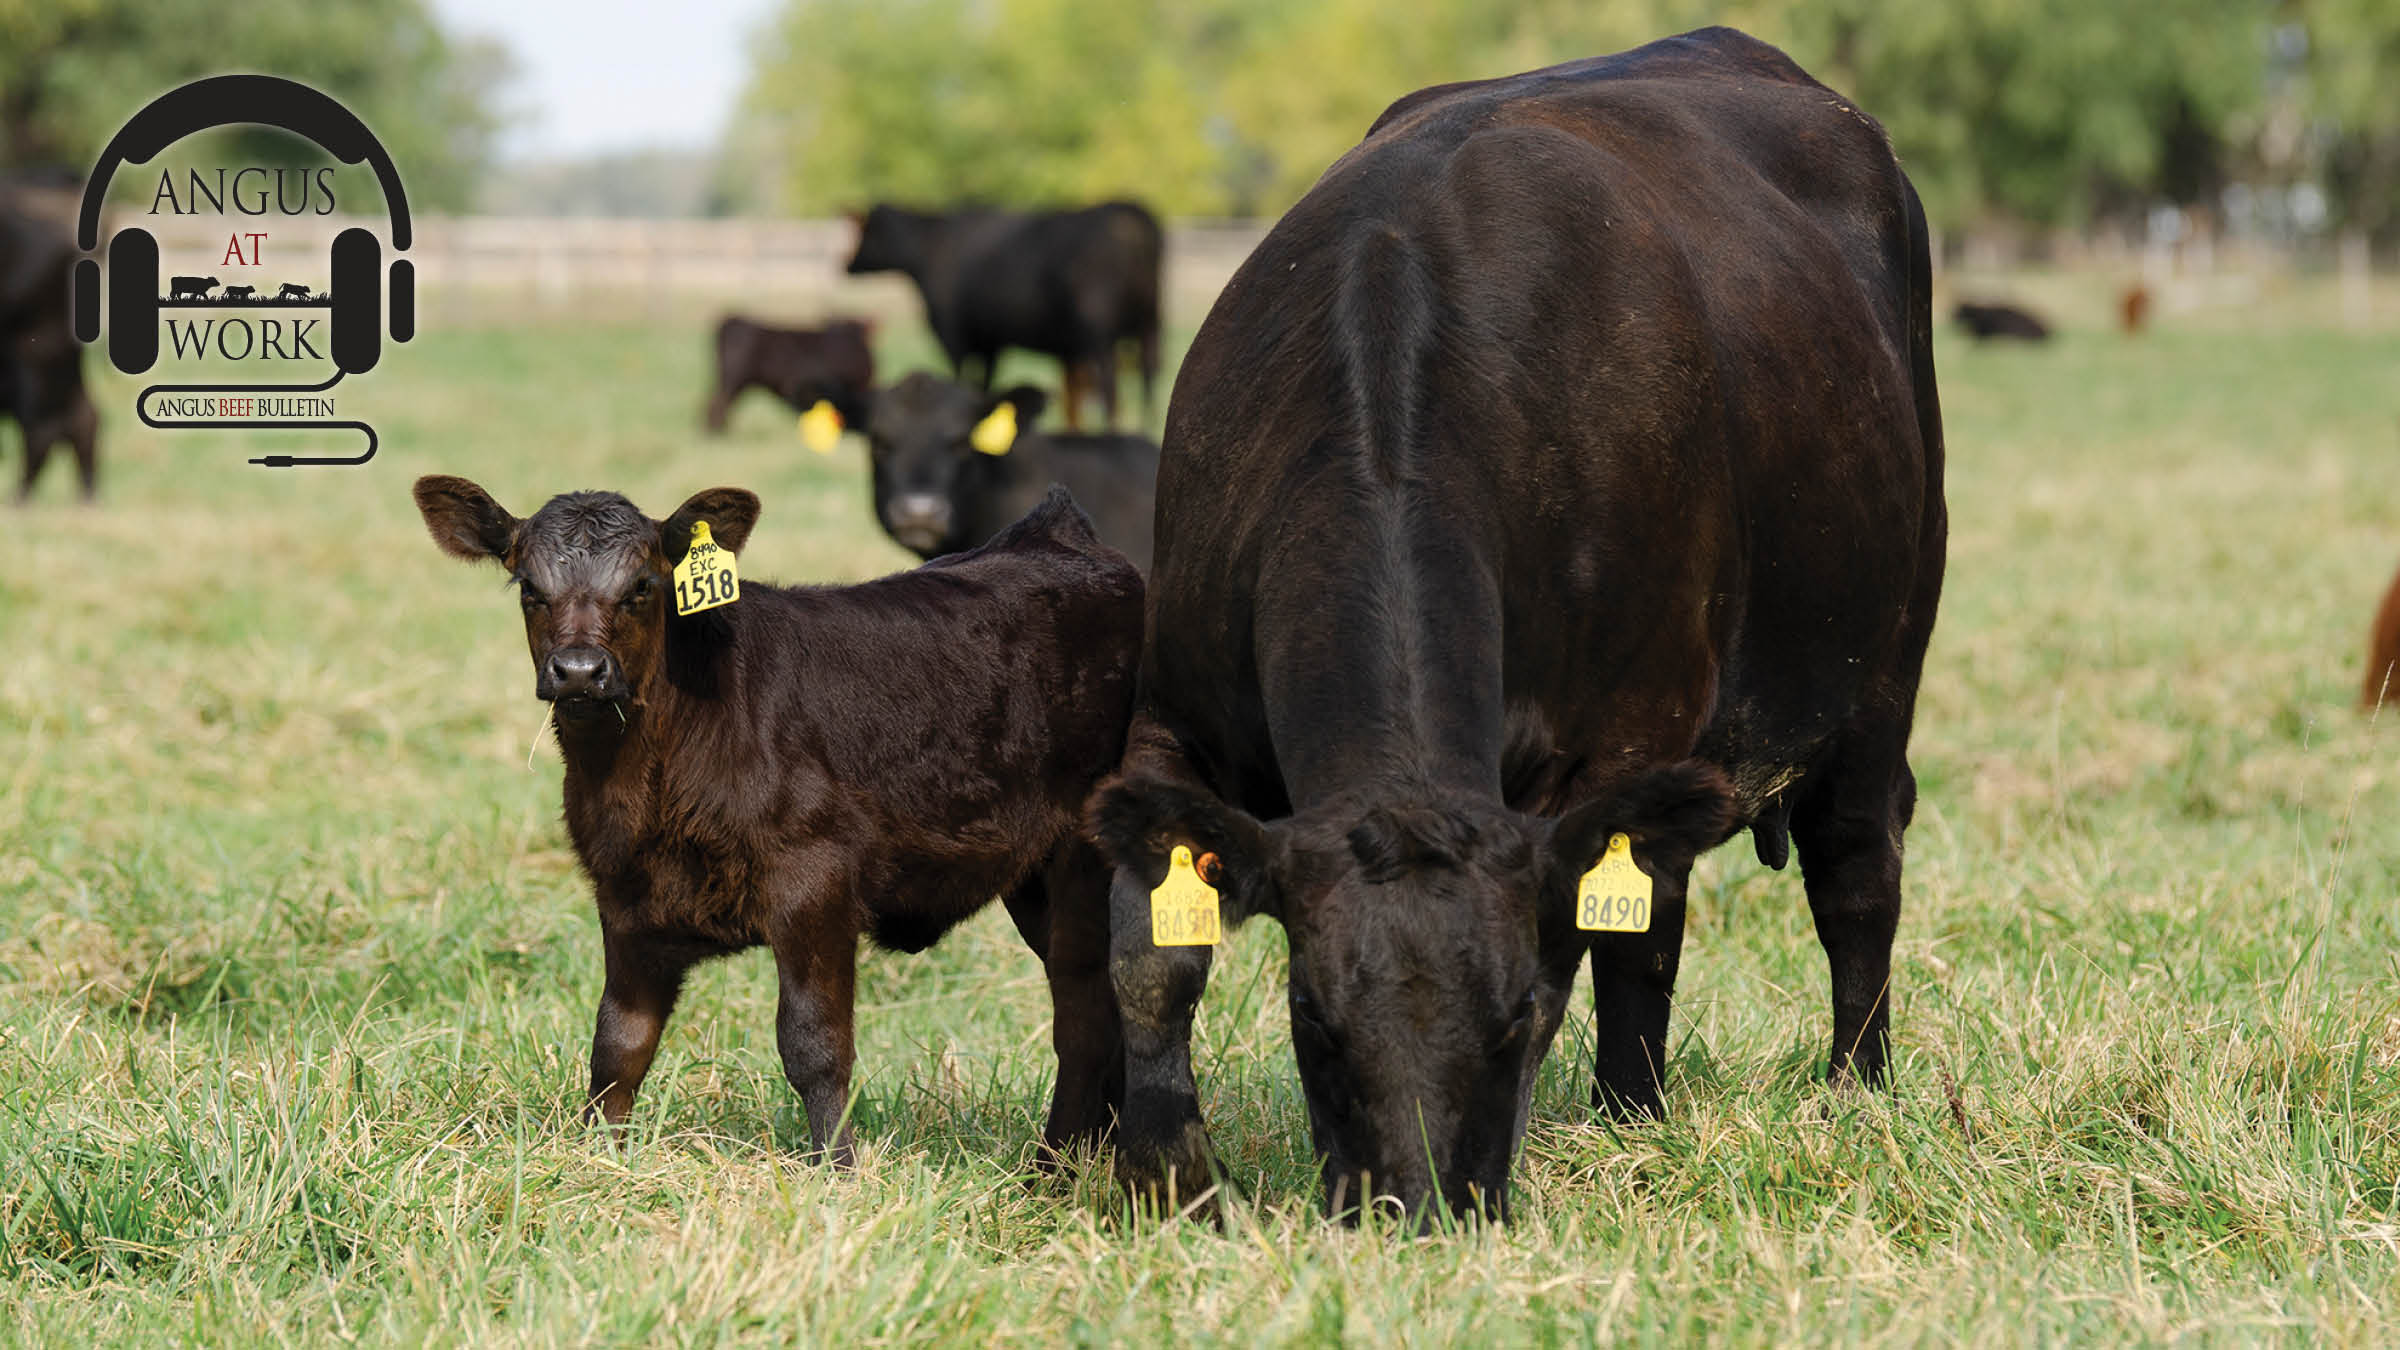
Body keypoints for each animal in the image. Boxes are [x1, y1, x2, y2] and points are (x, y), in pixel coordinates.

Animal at [413, 477, 1142, 1165]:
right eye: (530, 588)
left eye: (644, 585)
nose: (579, 672)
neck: (645, 781)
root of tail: (1055, 531)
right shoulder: (623, 895)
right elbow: (618, 1047)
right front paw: (597, 1163)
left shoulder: (814, 883)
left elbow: (813, 1045)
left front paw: (837, 1173)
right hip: (1031, 878)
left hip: (1084, 856)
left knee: (1084, 1011)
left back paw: (1052, 1170)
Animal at [844, 201, 1162, 432]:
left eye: (866, 232)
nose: (846, 266)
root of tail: (1127, 212)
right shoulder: (991, 343)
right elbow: (986, 384)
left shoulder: (954, 336)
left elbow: (963, 378)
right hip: (1149, 318)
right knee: (1147, 370)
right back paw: (1145, 425)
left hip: (1099, 331)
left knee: (1110, 381)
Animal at [1082, 28, 1946, 1225]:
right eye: (1313, 1023)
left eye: (1514, 1024)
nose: (1418, 1209)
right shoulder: (1175, 713)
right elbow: (1150, 955)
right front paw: (1167, 1180)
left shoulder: (1616, 739)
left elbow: (1581, 944)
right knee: (1655, 925)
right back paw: (1636, 1111)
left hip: (1880, 659)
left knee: (1852, 870)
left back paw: (1851, 1089)